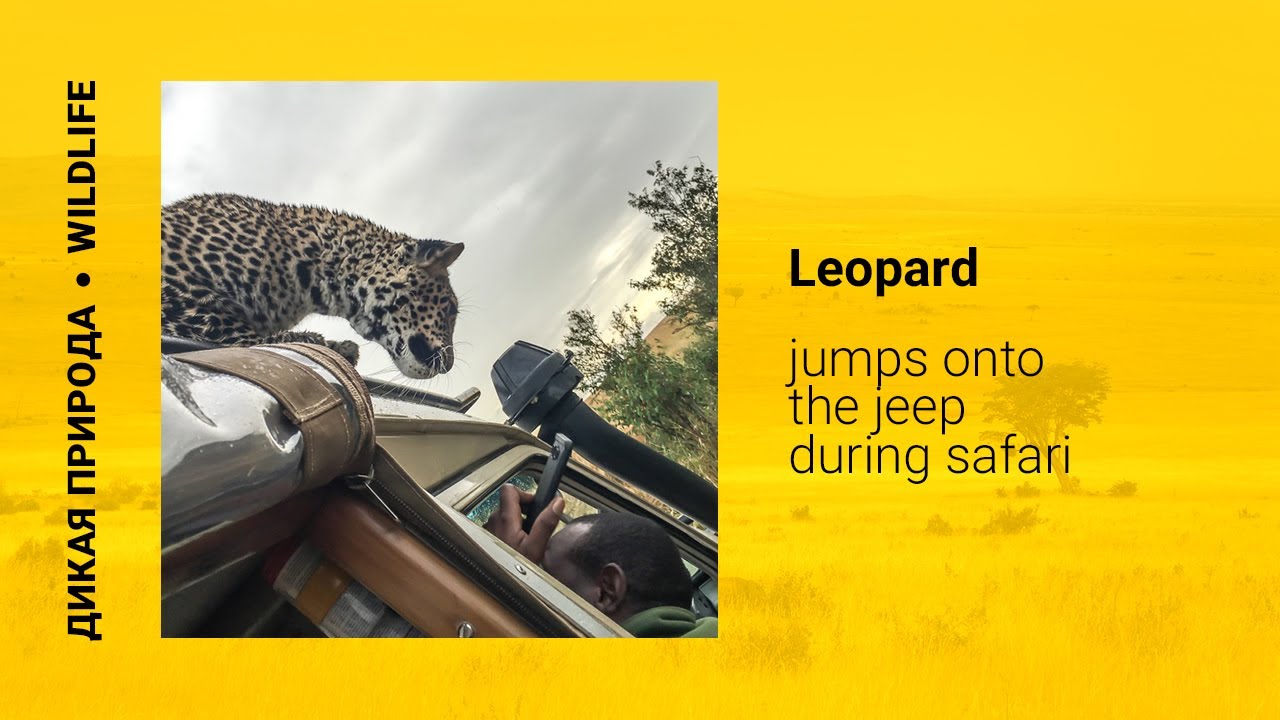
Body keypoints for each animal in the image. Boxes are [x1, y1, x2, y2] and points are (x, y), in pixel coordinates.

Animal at [162, 193, 463, 378]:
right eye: (450, 309)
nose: (449, 366)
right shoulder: (175, 288)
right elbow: (229, 328)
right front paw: (316, 341)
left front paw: (339, 346)